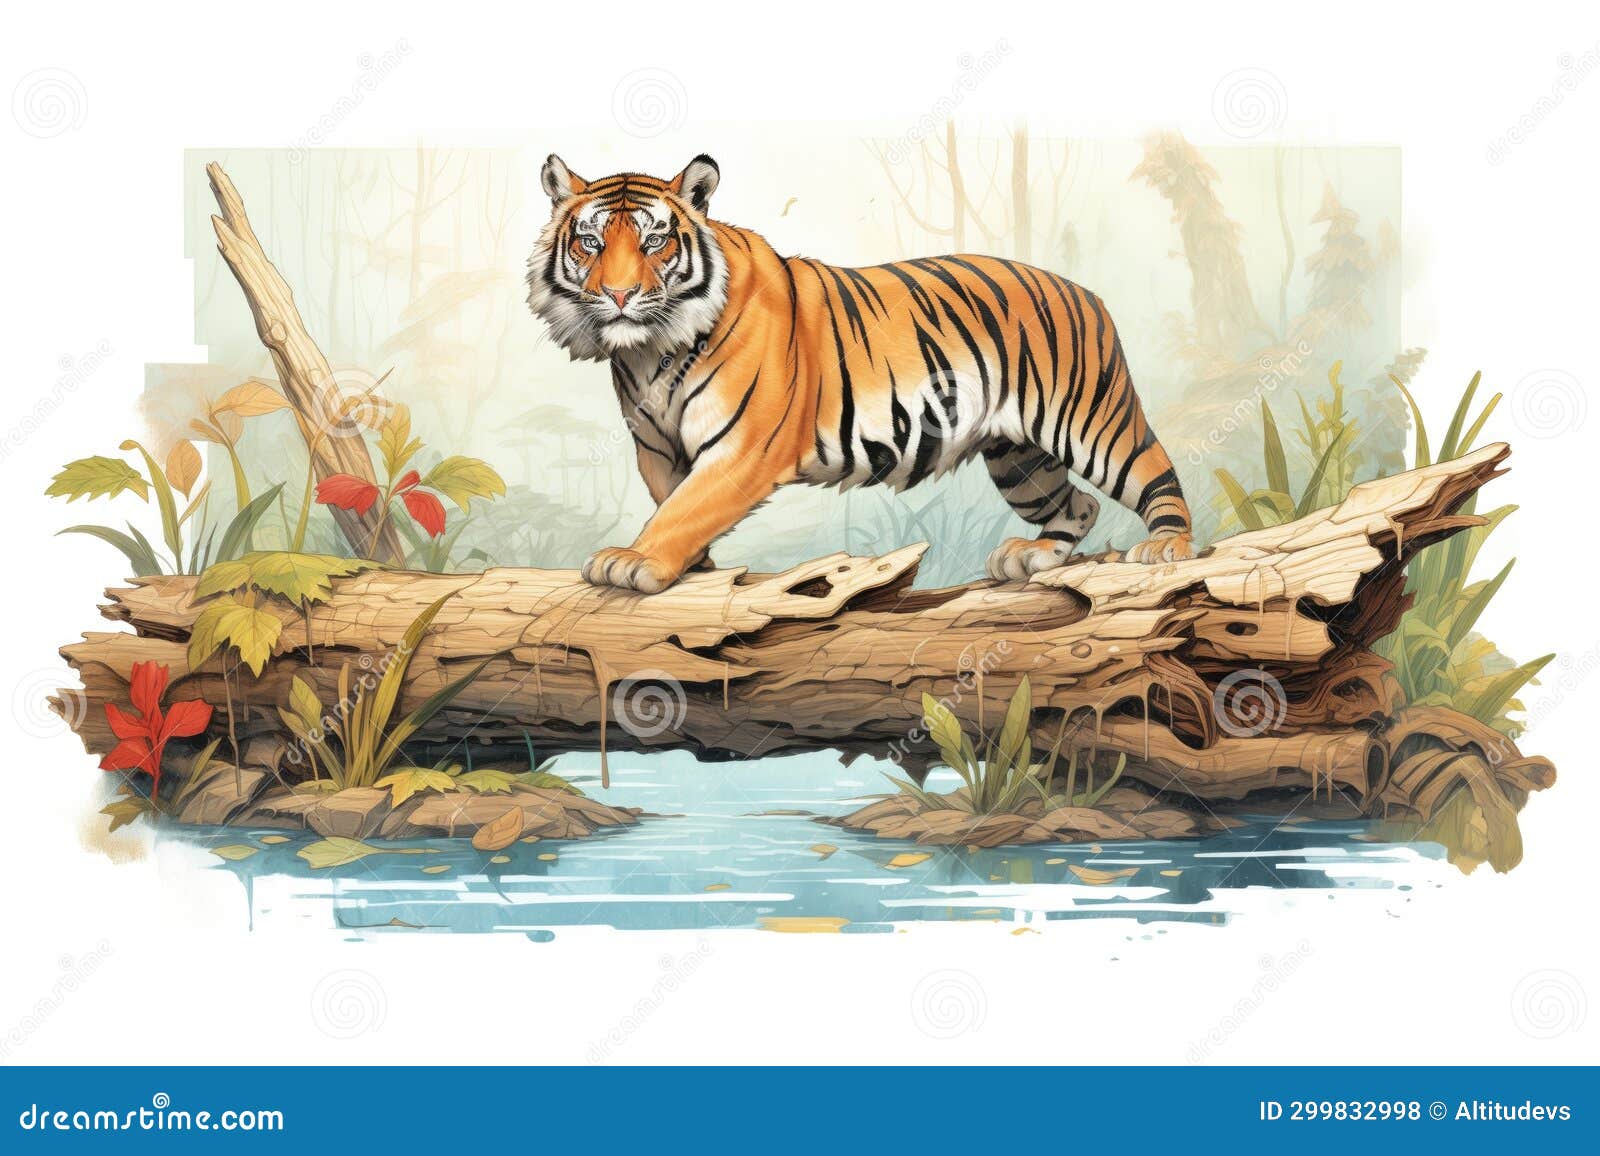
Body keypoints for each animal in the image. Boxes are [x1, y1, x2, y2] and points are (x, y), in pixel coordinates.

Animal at [526, 153, 1193, 593]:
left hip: (1089, 422)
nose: (617, 295)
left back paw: (1167, 546)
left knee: (1155, 473)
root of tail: (1082, 289)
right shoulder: (658, 449)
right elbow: (673, 503)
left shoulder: (742, 451)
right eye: (589, 243)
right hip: (1017, 457)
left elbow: (684, 511)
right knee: (1078, 506)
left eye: (655, 242)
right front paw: (694, 566)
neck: (649, 351)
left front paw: (634, 561)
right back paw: (1033, 558)